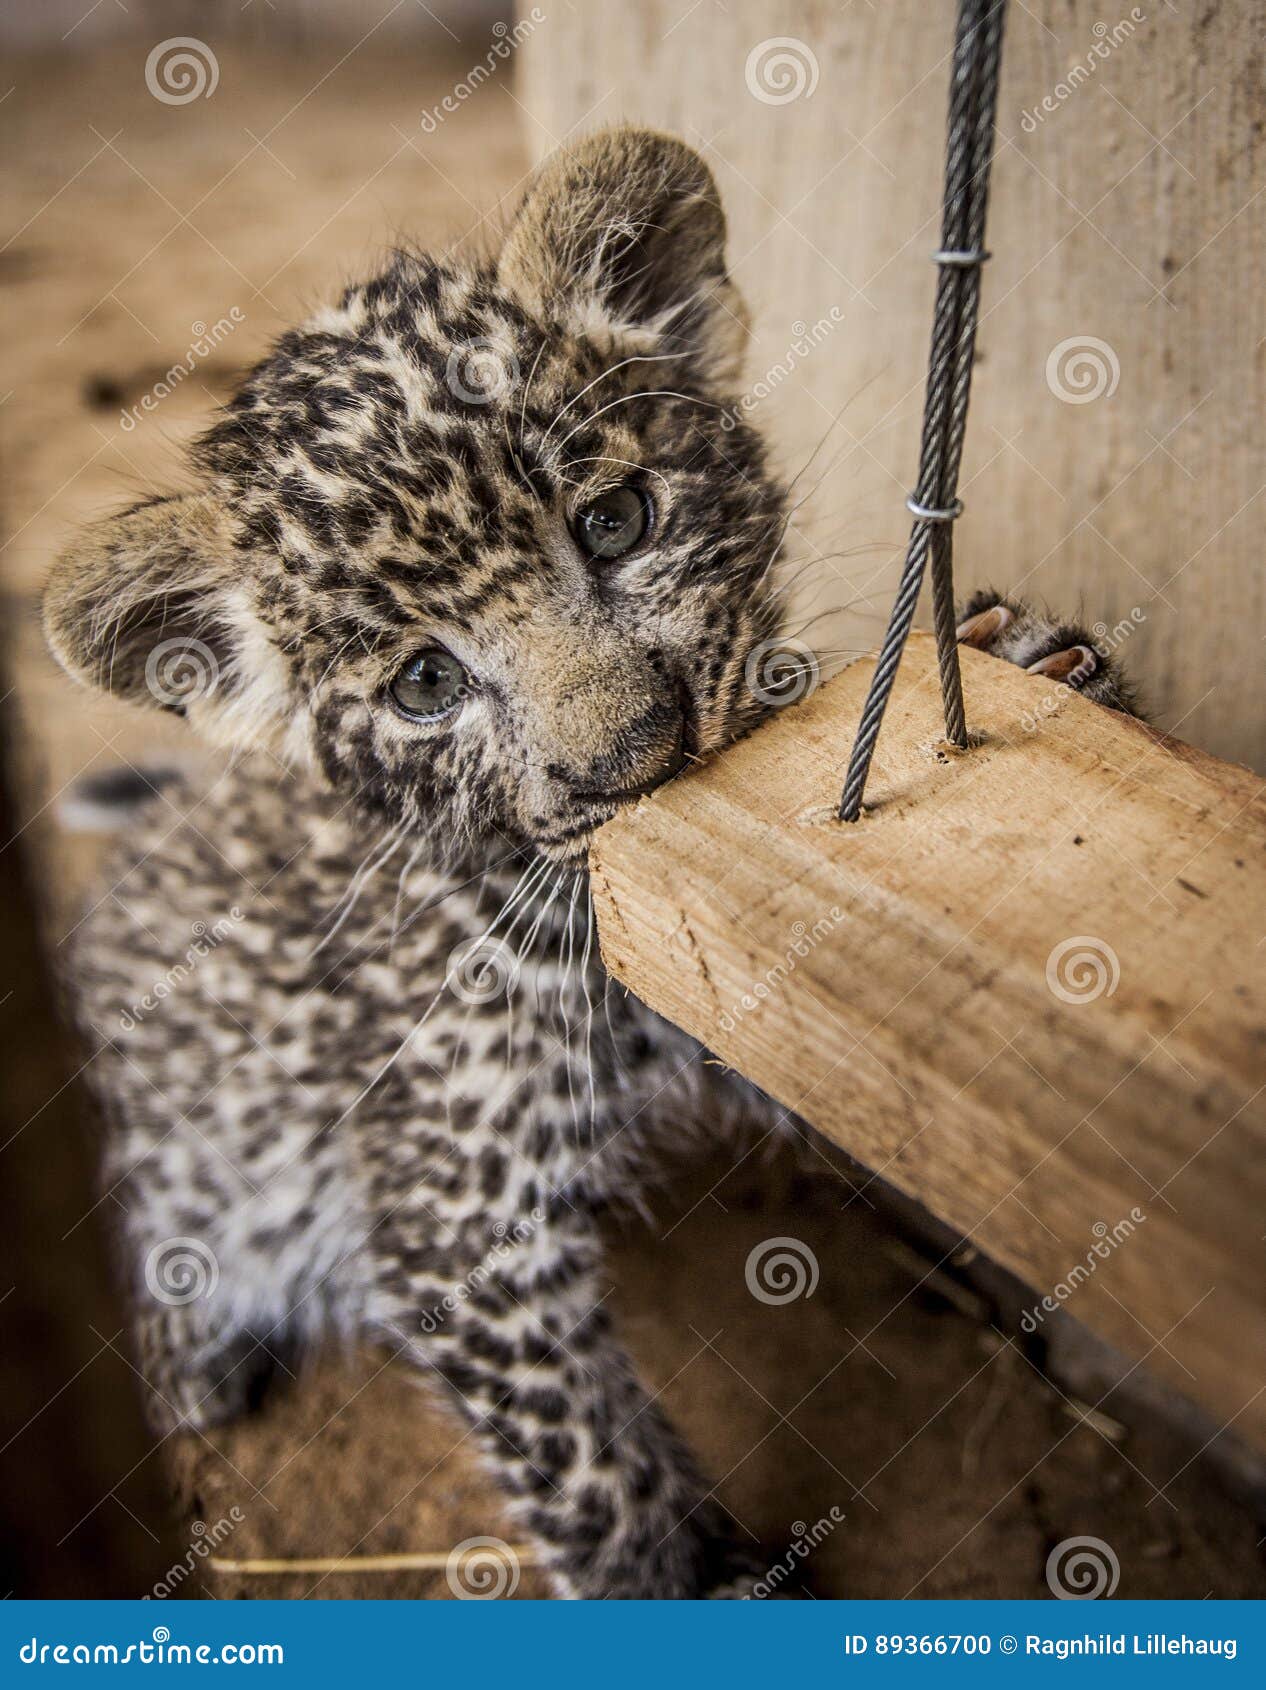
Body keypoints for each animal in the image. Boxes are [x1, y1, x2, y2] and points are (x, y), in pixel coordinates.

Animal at [43, 126, 1136, 1599]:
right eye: (425, 683)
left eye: (616, 522)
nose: (636, 755)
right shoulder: (455, 1207)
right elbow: (586, 1465)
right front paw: (692, 1584)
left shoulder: (703, 963)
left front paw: (1021, 662)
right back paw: (194, 1358)